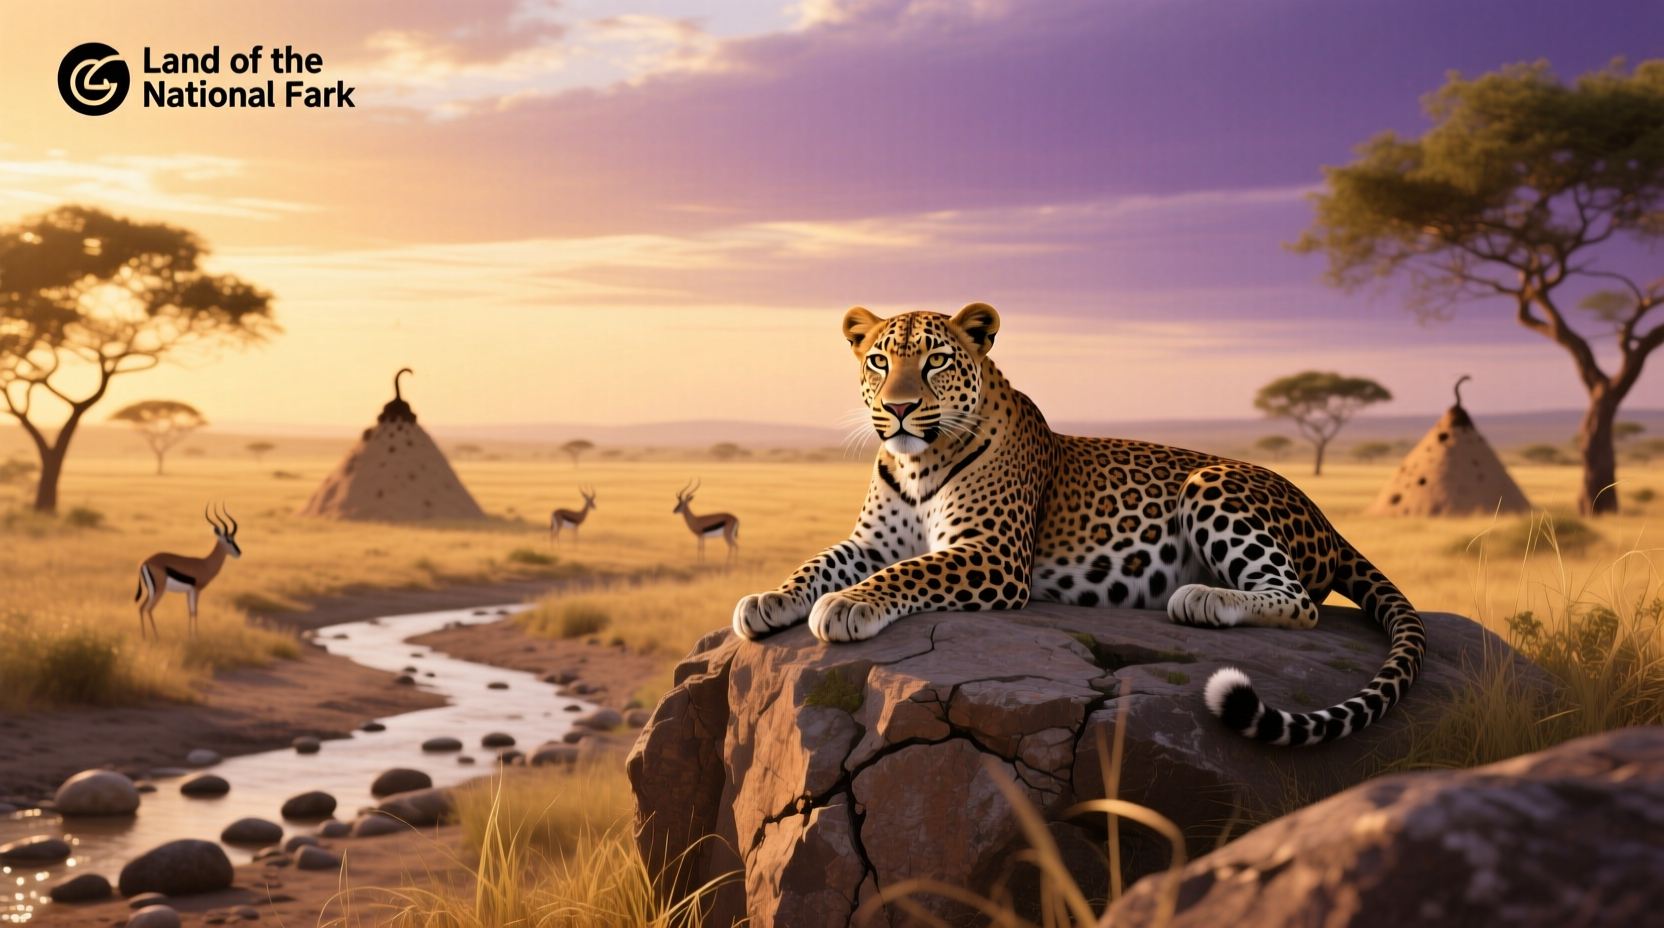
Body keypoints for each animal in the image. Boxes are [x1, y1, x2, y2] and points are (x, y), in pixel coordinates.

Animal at [733, 303, 1424, 746]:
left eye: (935, 363)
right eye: (878, 361)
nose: (898, 408)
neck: (916, 457)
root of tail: (1326, 518)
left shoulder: (992, 554)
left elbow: (908, 573)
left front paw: (848, 605)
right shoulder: (870, 541)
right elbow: (818, 562)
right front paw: (770, 599)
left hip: (1214, 483)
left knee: (1299, 600)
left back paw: (1202, 598)